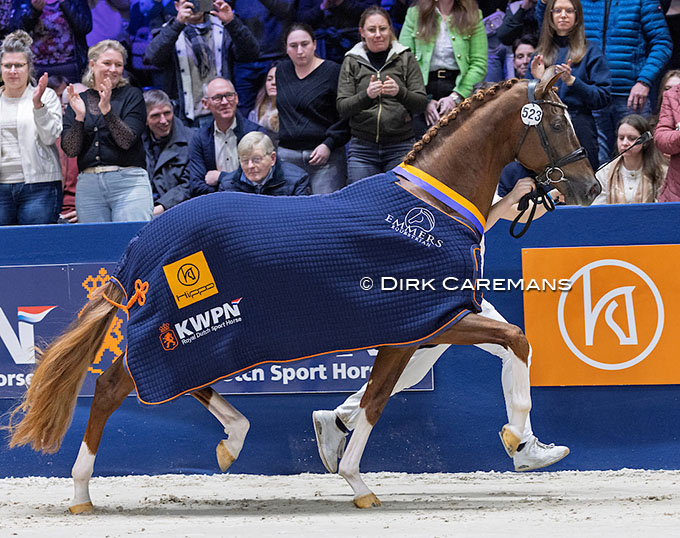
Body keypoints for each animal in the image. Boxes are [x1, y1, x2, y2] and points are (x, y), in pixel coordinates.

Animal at [4, 70, 601, 513]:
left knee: (162, 384)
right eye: (557, 121)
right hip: (180, 332)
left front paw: (527, 448)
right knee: (114, 387)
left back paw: (230, 440)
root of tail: (140, 243)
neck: (433, 206)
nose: (589, 187)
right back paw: (82, 491)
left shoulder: (419, 330)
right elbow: (507, 344)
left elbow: (381, 396)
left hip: (192, 338)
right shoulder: (432, 321)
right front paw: (517, 446)